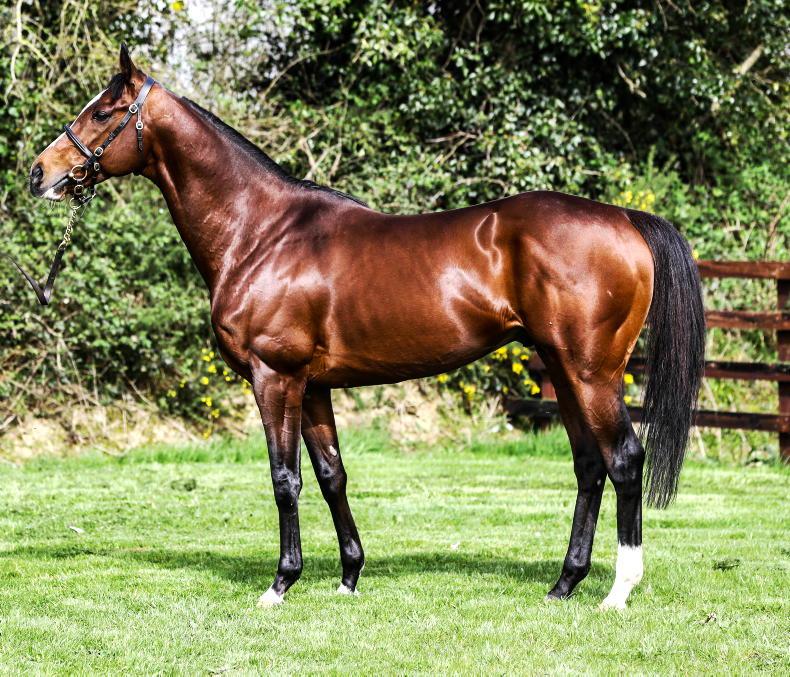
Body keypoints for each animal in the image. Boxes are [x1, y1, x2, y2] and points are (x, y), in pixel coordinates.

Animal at [29, 46, 705, 609]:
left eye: (103, 112)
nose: (39, 173)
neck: (260, 232)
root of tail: (624, 218)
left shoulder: (274, 378)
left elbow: (285, 479)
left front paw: (281, 584)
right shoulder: (313, 386)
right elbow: (332, 476)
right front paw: (349, 576)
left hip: (591, 371)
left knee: (624, 459)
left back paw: (617, 592)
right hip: (563, 370)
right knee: (590, 465)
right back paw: (564, 583)